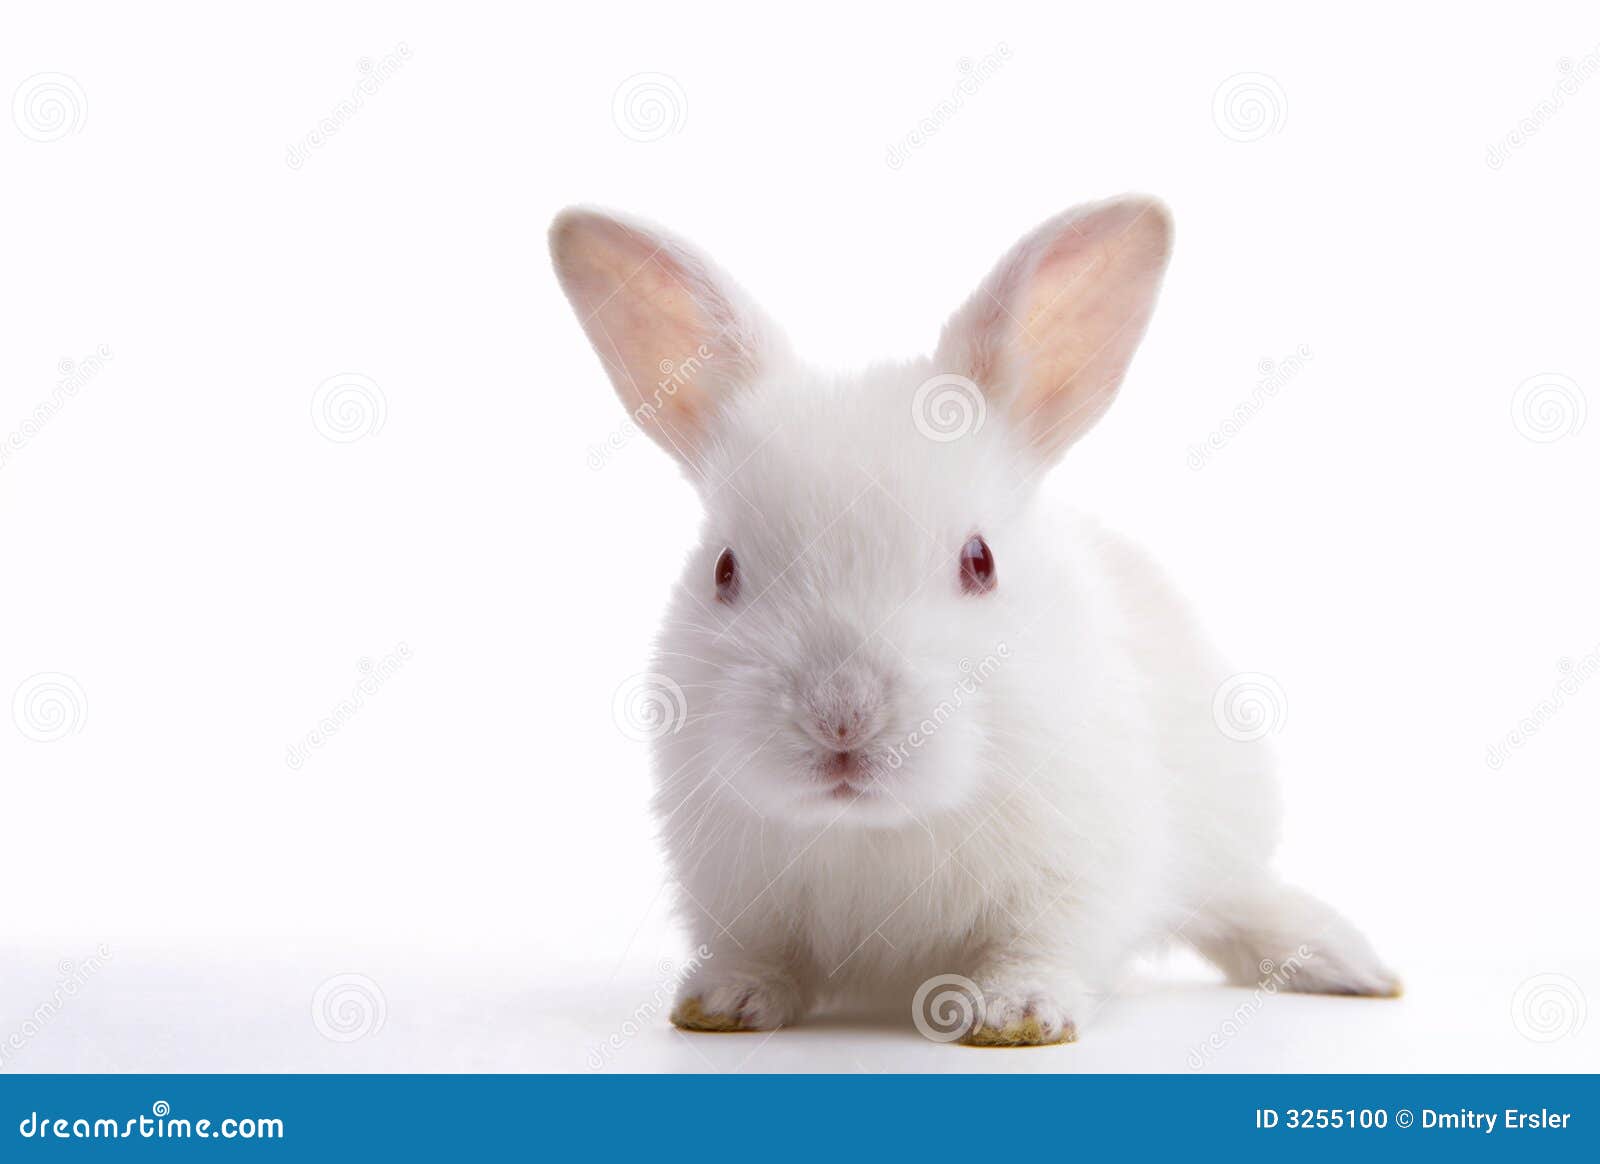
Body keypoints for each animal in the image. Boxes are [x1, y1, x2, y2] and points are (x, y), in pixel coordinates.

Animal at [551, 195, 1398, 1046]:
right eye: (725, 571)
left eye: (979, 560)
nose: (841, 719)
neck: (875, 830)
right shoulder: (732, 895)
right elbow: (756, 952)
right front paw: (723, 1005)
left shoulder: (1078, 875)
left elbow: (1042, 947)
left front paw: (1015, 1016)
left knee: (1240, 907)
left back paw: (1348, 966)